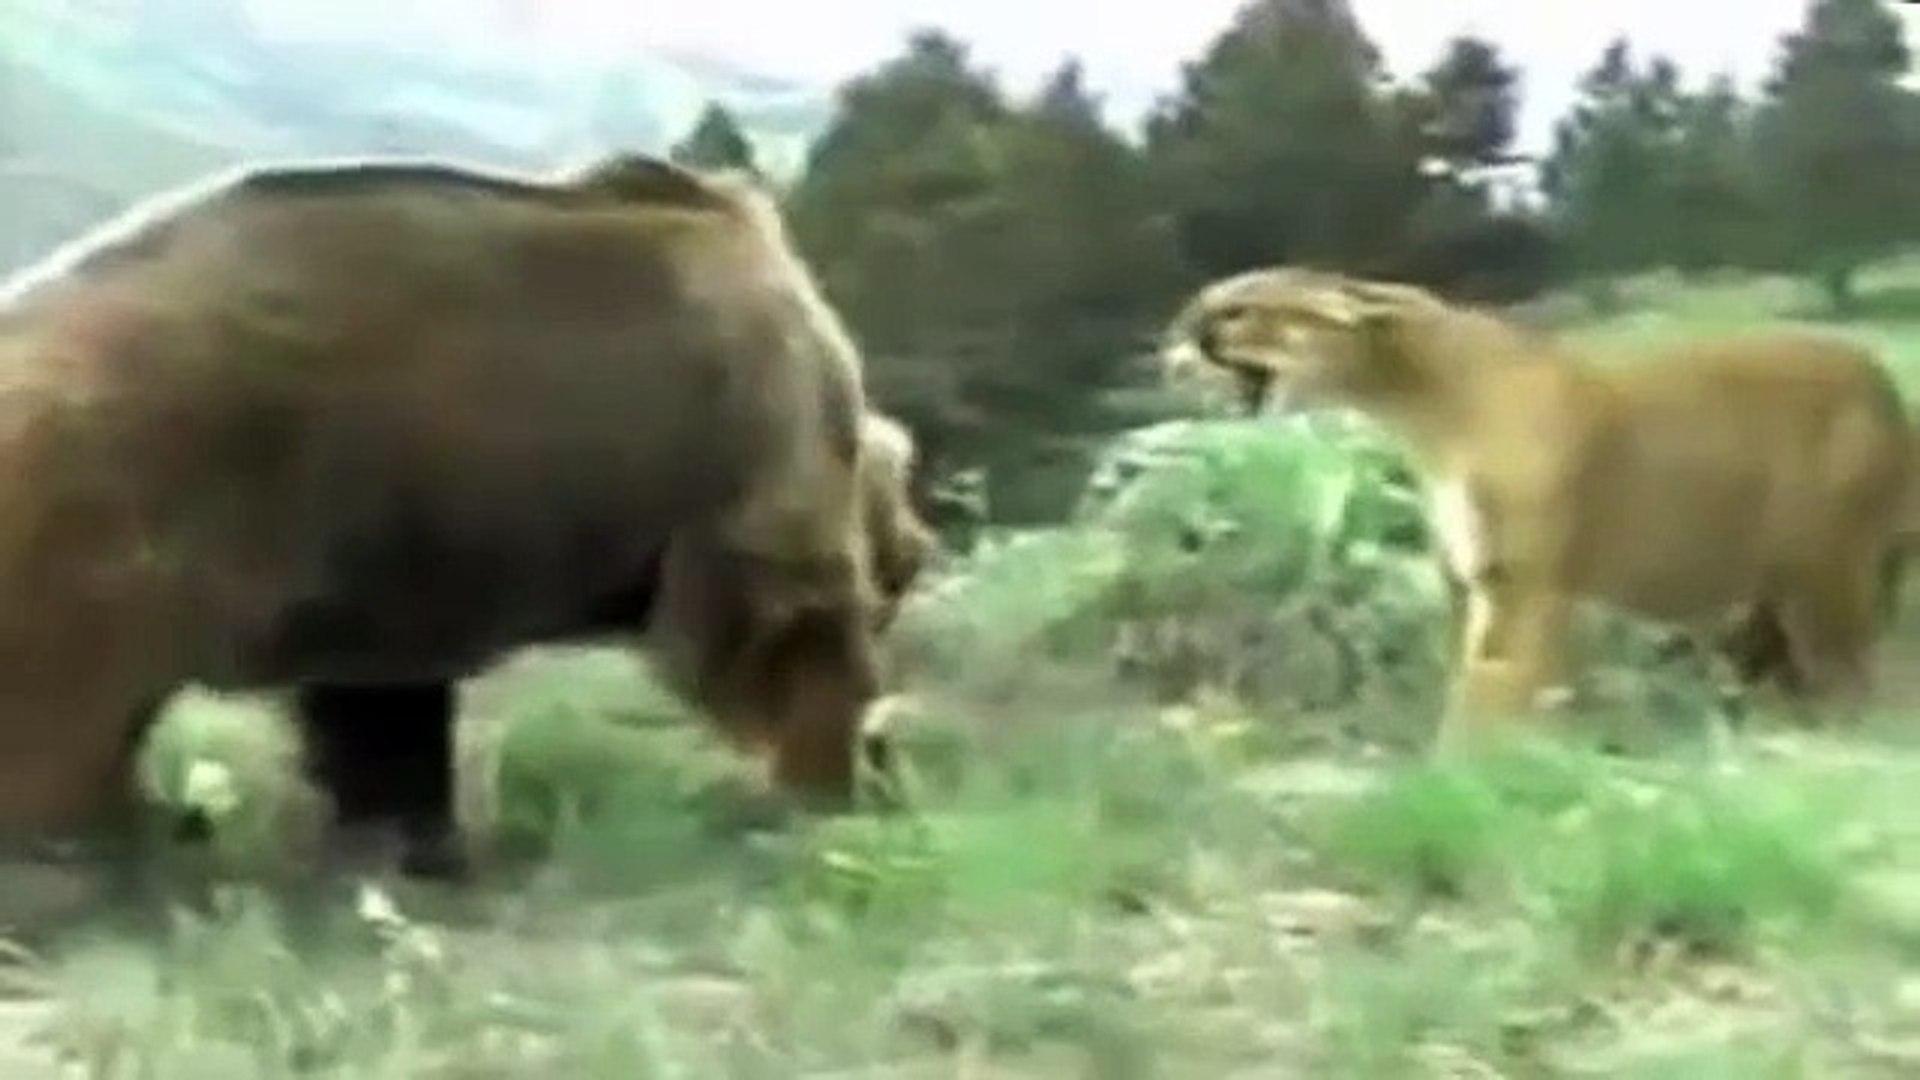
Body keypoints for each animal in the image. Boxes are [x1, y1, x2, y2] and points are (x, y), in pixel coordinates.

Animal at [0, 150, 907, 890]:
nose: (913, 552)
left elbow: (380, 721)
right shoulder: (745, 438)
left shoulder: (380, 576)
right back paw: (93, 859)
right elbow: (780, 624)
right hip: (110, 533)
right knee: (64, 731)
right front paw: (833, 775)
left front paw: (407, 847)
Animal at [1158, 266, 1919, 752]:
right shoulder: (1477, 581)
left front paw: (1469, 773)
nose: (1174, 338)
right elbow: (1481, 684)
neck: (1420, 405)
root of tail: (1884, 383)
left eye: (1235, 311)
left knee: (1854, 674)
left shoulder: (1523, 582)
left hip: (1825, 572)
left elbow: (1492, 689)